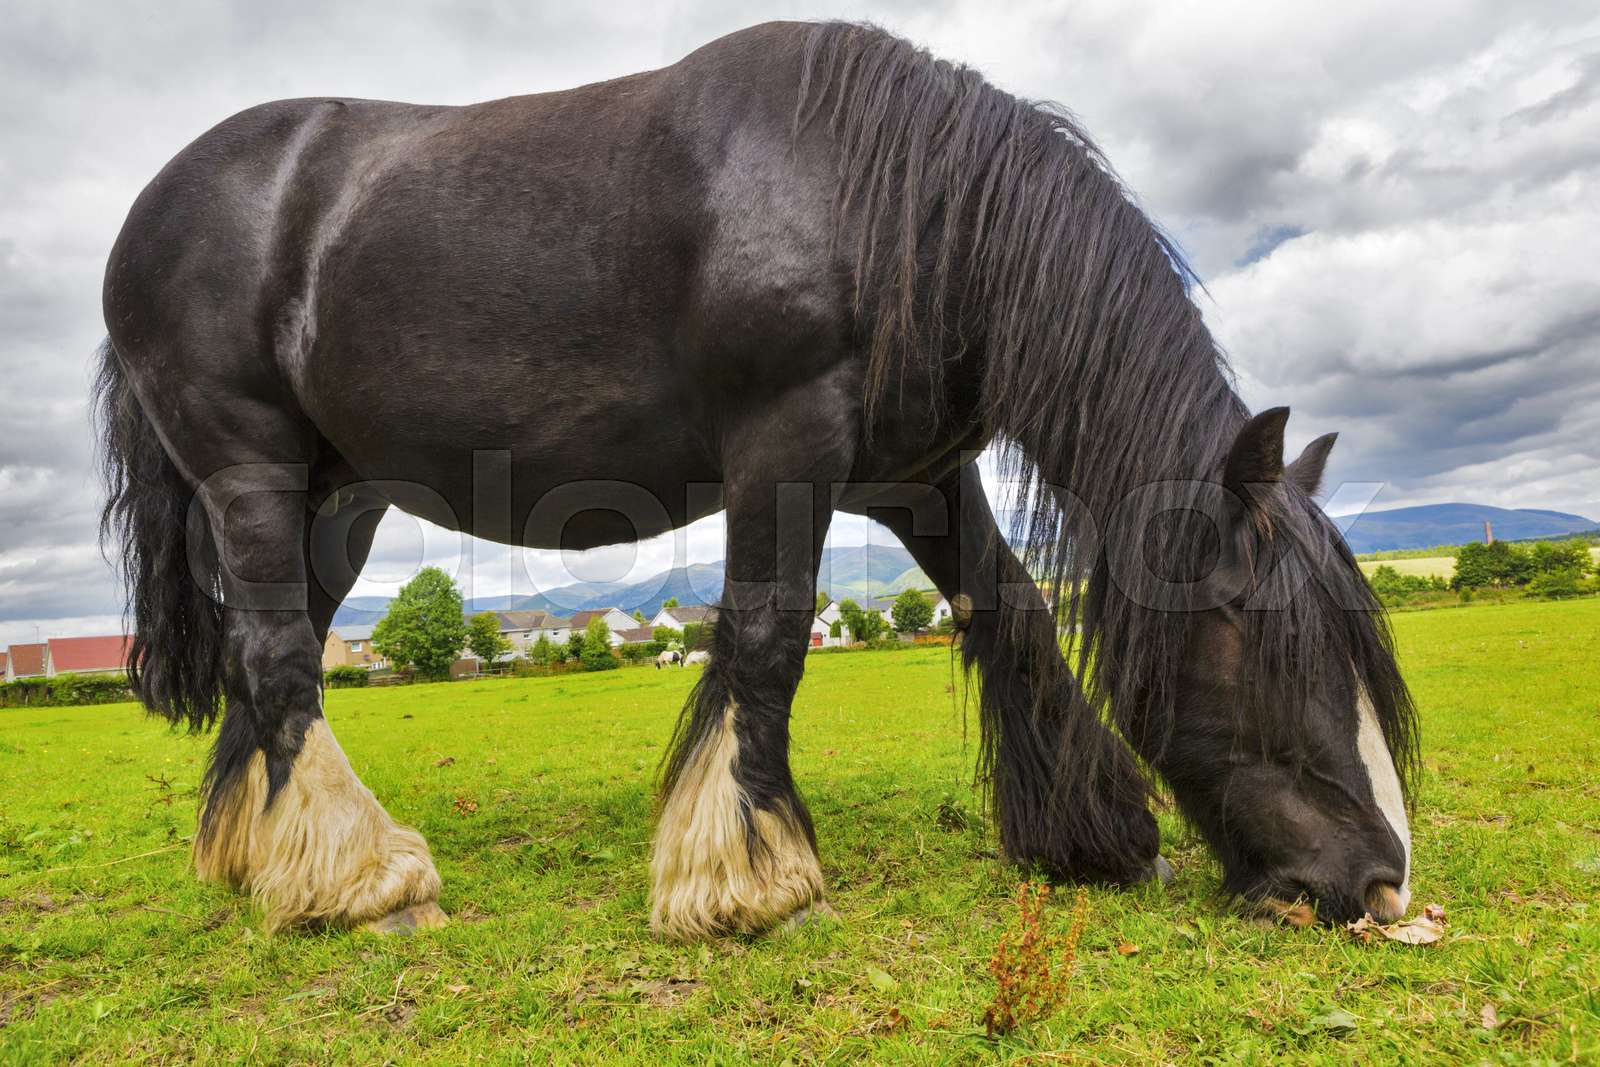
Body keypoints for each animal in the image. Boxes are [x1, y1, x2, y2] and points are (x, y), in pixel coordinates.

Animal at [96, 20, 1416, 940]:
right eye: (1271, 639)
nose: (1376, 881)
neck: (895, 197)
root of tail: (153, 206)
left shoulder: (919, 476)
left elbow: (1011, 613)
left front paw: (1094, 832)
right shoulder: (787, 445)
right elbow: (769, 638)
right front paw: (746, 876)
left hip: (337, 502)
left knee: (278, 651)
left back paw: (265, 864)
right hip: (250, 468)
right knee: (277, 655)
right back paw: (369, 880)